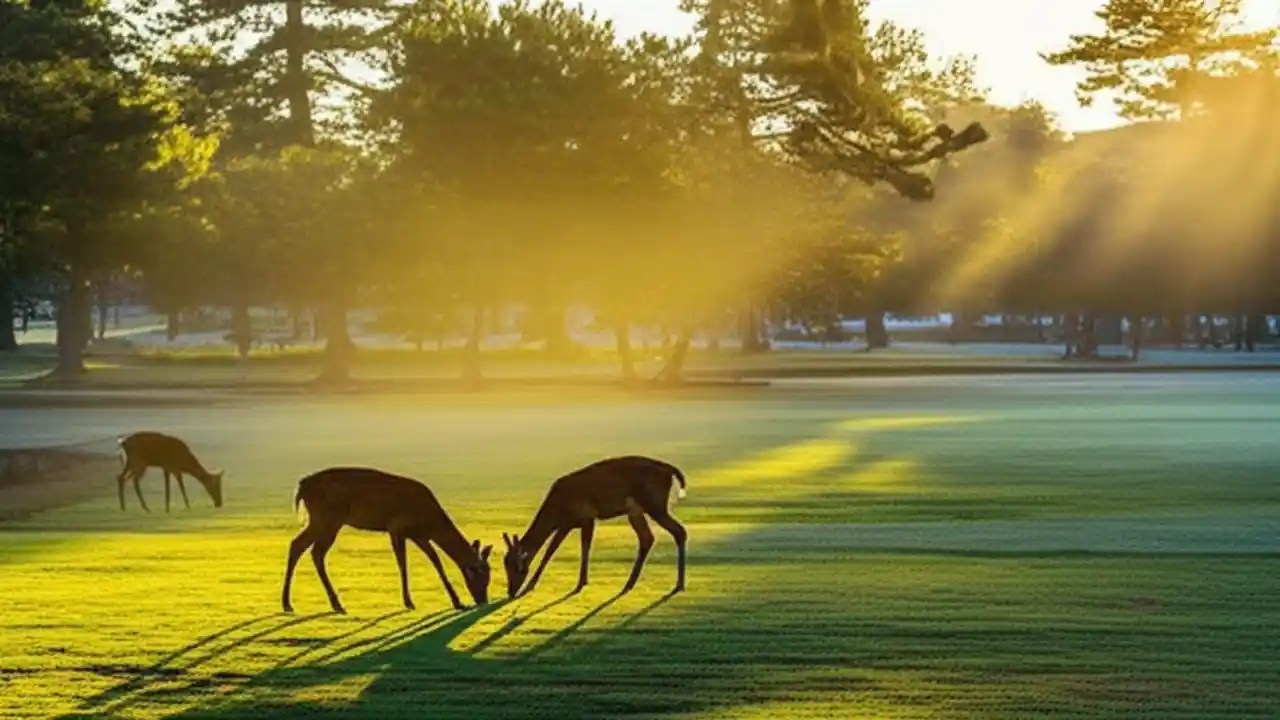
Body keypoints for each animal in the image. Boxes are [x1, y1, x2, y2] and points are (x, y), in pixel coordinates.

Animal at [282, 467, 493, 615]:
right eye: (482, 577)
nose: (483, 600)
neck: (431, 522)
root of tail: (302, 486)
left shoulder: (419, 535)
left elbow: (436, 562)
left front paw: (457, 602)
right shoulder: (397, 527)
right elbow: (403, 564)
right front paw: (409, 602)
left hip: (321, 520)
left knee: (299, 545)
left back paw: (290, 603)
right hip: (328, 519)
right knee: (315, 551)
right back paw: (334, 604)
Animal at [501, 456, 687, 599]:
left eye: (515, 567)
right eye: (505, 564)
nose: (510, 591)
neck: (558, 509)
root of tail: (671, 470)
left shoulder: (584, 517)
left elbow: (562, 549)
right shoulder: (569, 523)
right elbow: (557, 549)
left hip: (655, 504)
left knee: (679, 531)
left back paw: (679, 584)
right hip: (635, 511)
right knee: (647, 538)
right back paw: (629, 584)